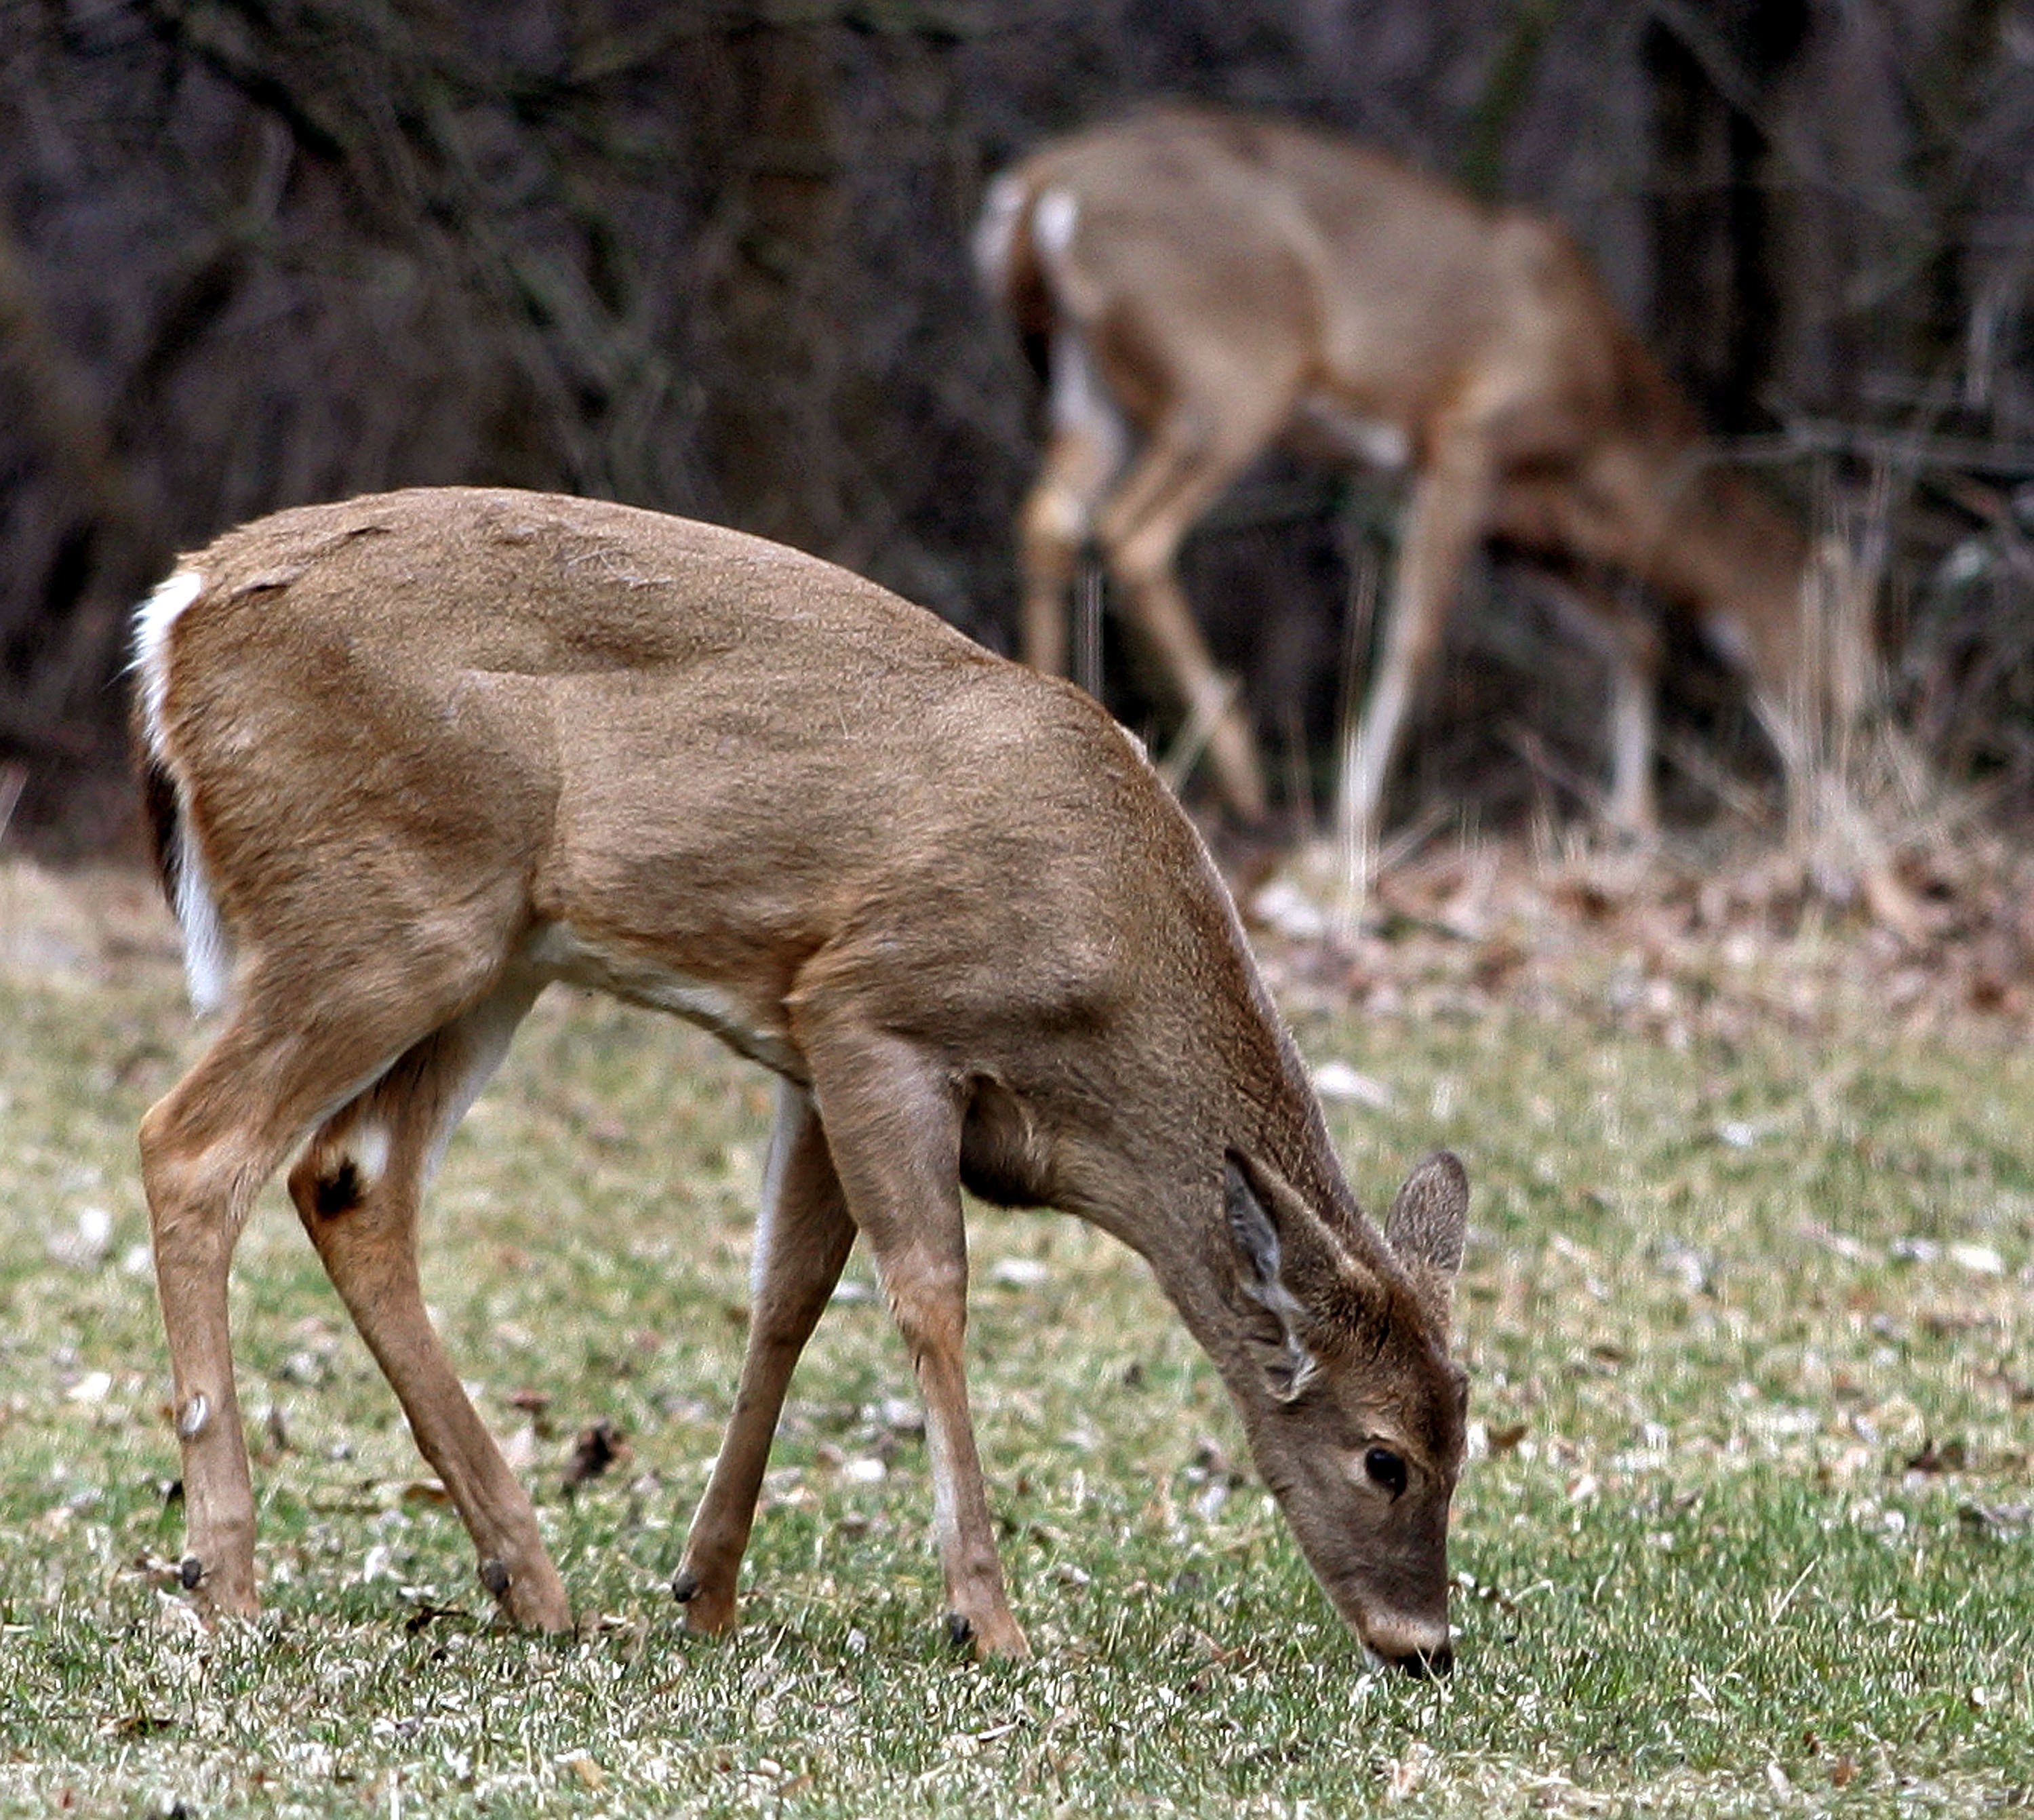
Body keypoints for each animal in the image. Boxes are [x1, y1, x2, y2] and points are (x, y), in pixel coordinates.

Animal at [131, 486, 1471, 1673]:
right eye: (1385, 1456)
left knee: (351, 1177)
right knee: (191, 1142)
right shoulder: (873, 1008)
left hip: (491, 954)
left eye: (1467, 1436)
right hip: (382, 908)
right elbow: (928, 1292)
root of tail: (179, 608)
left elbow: (788, 1293)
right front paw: (986, 1616)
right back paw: (225, 1579)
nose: (1424, 1646)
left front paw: (707, 1587)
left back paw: (532, 1582)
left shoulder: (807, 1050)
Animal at [976, 106, 1859, 845]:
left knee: (1045, 520)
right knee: (1134, 533)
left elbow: (1633, 638)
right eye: (1842, 638)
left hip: (1083, 384)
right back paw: (1245, 775)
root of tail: (1044, 187)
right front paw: (1355, 813)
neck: (1604, 437)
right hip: (1226, 372)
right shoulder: (1466, 437)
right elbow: (1415, 635)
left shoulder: (1520, 525)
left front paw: (1631, 815)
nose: (1855, 721)